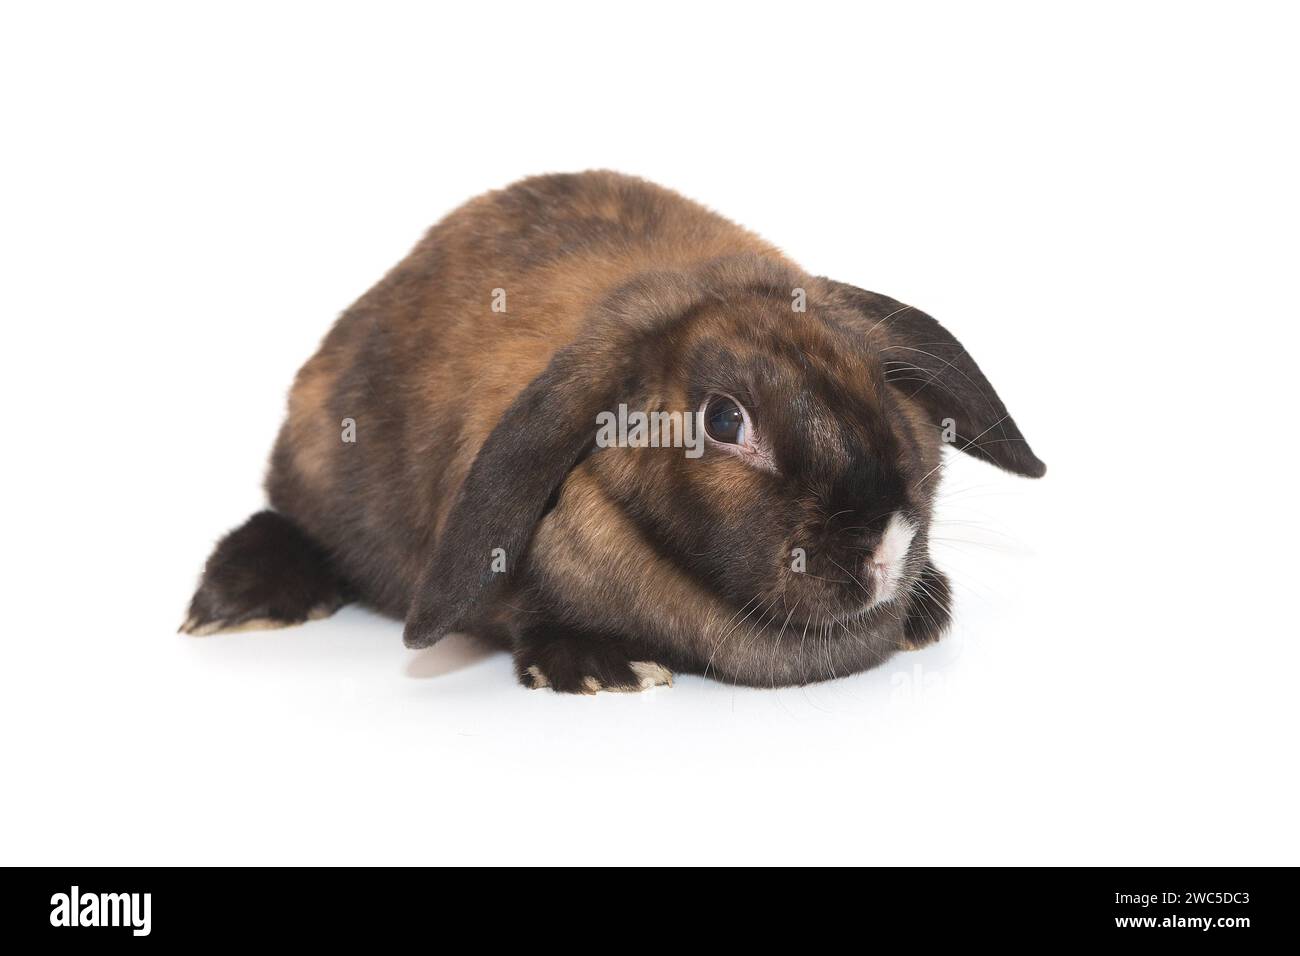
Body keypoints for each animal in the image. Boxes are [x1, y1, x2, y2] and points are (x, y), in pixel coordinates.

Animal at [181, 171, 1045, 692]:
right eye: (723, 420)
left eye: (877, 382)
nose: (886, 549)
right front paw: (605, 667)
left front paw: (926, 613)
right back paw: (238, 597)